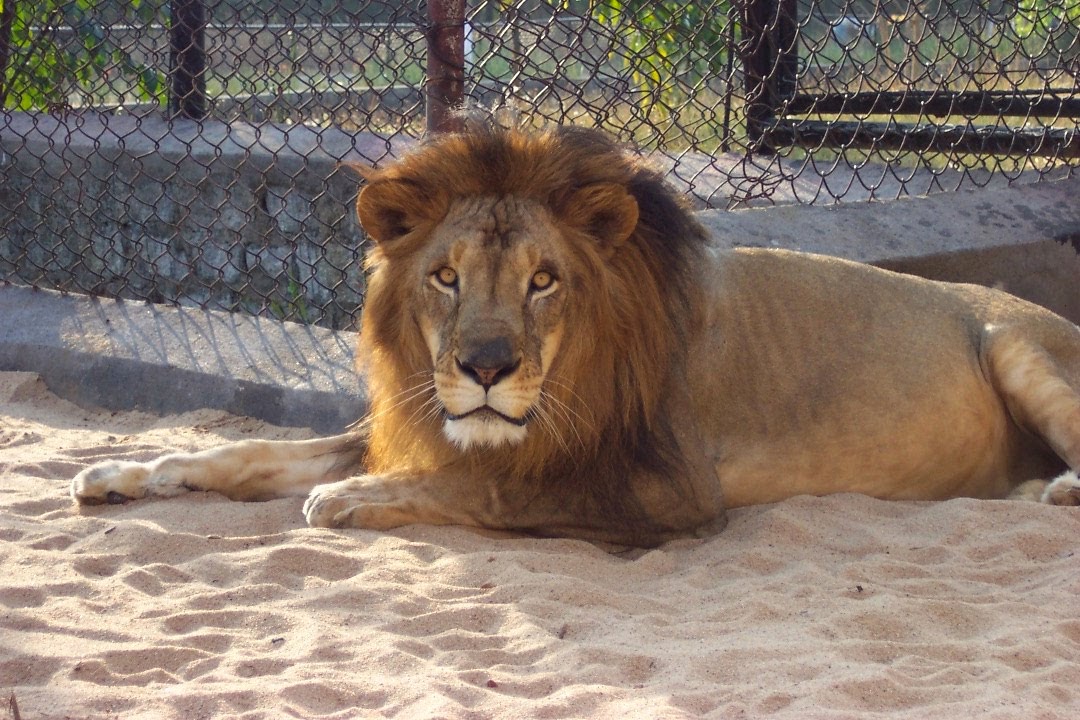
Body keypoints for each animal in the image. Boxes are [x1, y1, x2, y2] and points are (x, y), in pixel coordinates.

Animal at [71, 122, 1080, 547]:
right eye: (446, 277)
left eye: (543, 281)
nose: (483, 368)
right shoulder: (421, 415)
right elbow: (240, 456)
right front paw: (118, 474)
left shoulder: (672, 488)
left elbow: (489, 490)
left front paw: (352, 498)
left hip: (1010, 341)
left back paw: (1055, 492)